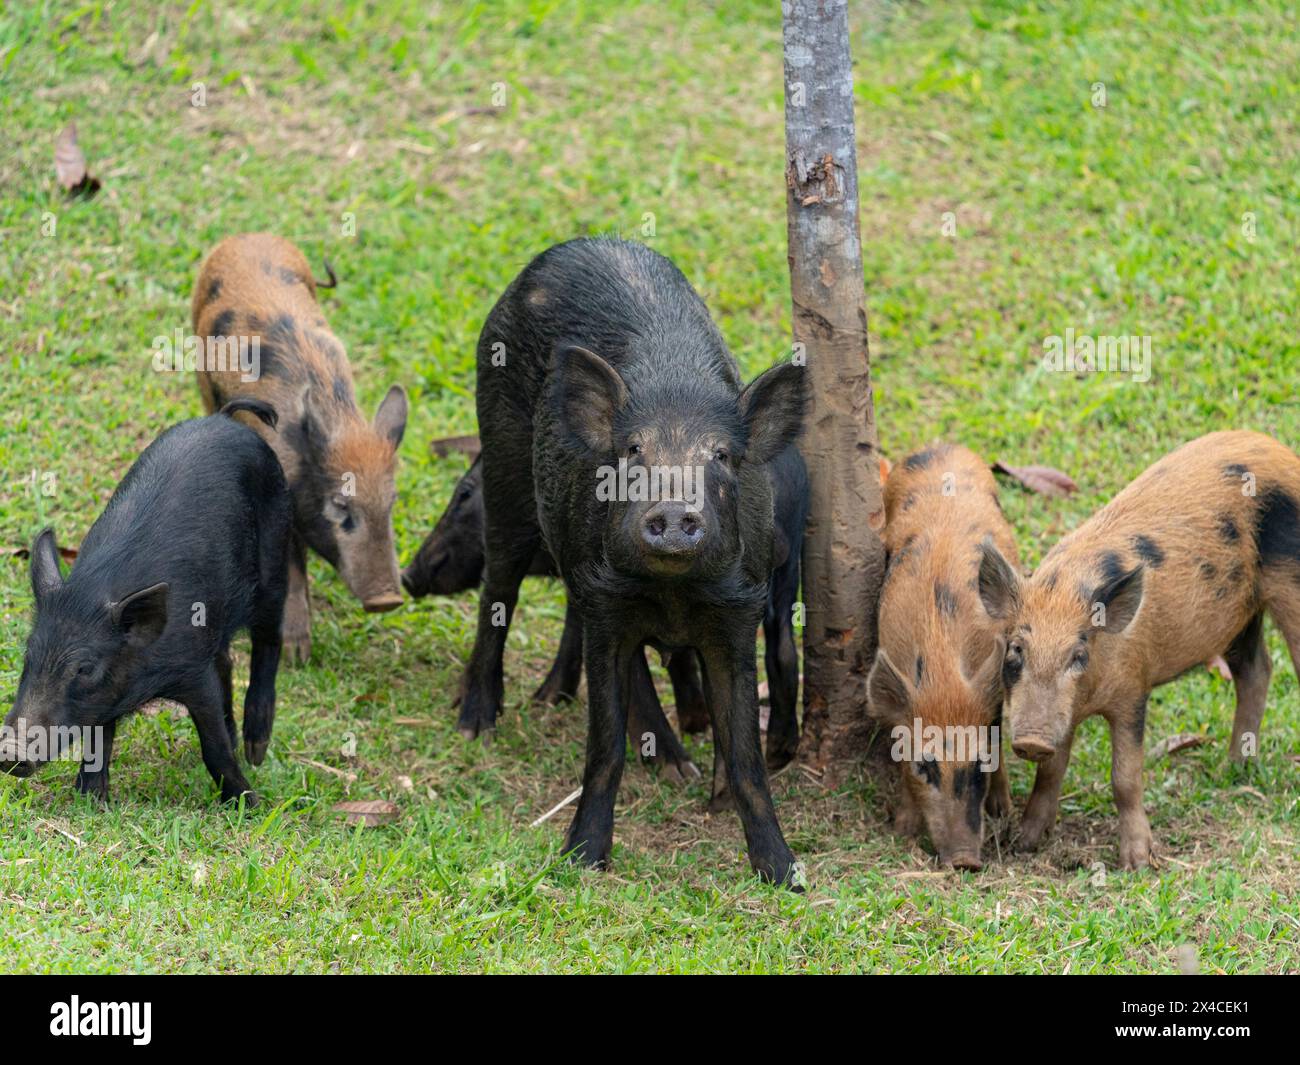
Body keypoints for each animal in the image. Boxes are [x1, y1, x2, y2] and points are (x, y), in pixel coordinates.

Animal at [0, 400, 290, 805]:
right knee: (227, 659)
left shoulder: (192, 668)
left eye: (84, 668)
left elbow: (213, 746)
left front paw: (248, 804)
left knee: (270, 639)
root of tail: (224, 417)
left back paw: (255, 750)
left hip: (277, 561)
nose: (10, 753)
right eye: (29, 657)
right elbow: (98, 740)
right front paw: (91, 800)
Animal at [192, 233, 408, 664]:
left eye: (391, 502)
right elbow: (290, 570)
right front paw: (296, 657)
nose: (388, 600)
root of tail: (247, 236)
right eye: (340, 504)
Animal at [457, 237, 806, 886]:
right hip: (503, 463)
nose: (672, 510)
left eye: (722, 455)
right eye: (632, 450)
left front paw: (782, 874)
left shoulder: (737, 610)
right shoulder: (608, 601)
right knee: (499, 587)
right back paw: (477, 722)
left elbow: (746, 753)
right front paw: (581, 860)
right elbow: (603, 747)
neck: (672, 593)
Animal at [866, 443, 1015, 870]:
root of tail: (941, 446)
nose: (965, 860)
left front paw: (1003, 810)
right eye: (924, 765)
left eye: (979, 764)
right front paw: (902, 829)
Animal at [977, 430, 1300, 868]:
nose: (1031, 741)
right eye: (1015, 650)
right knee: (1257, 670)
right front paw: (1023, 845)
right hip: (1240, 615)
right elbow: (1051, 773)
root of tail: (1275, 446)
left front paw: (1137, 864)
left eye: (1078, 655)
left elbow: (1125, 778)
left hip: (1288, 584)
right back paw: (1233, 771)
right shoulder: (1066, 713)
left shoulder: (1134, 693)